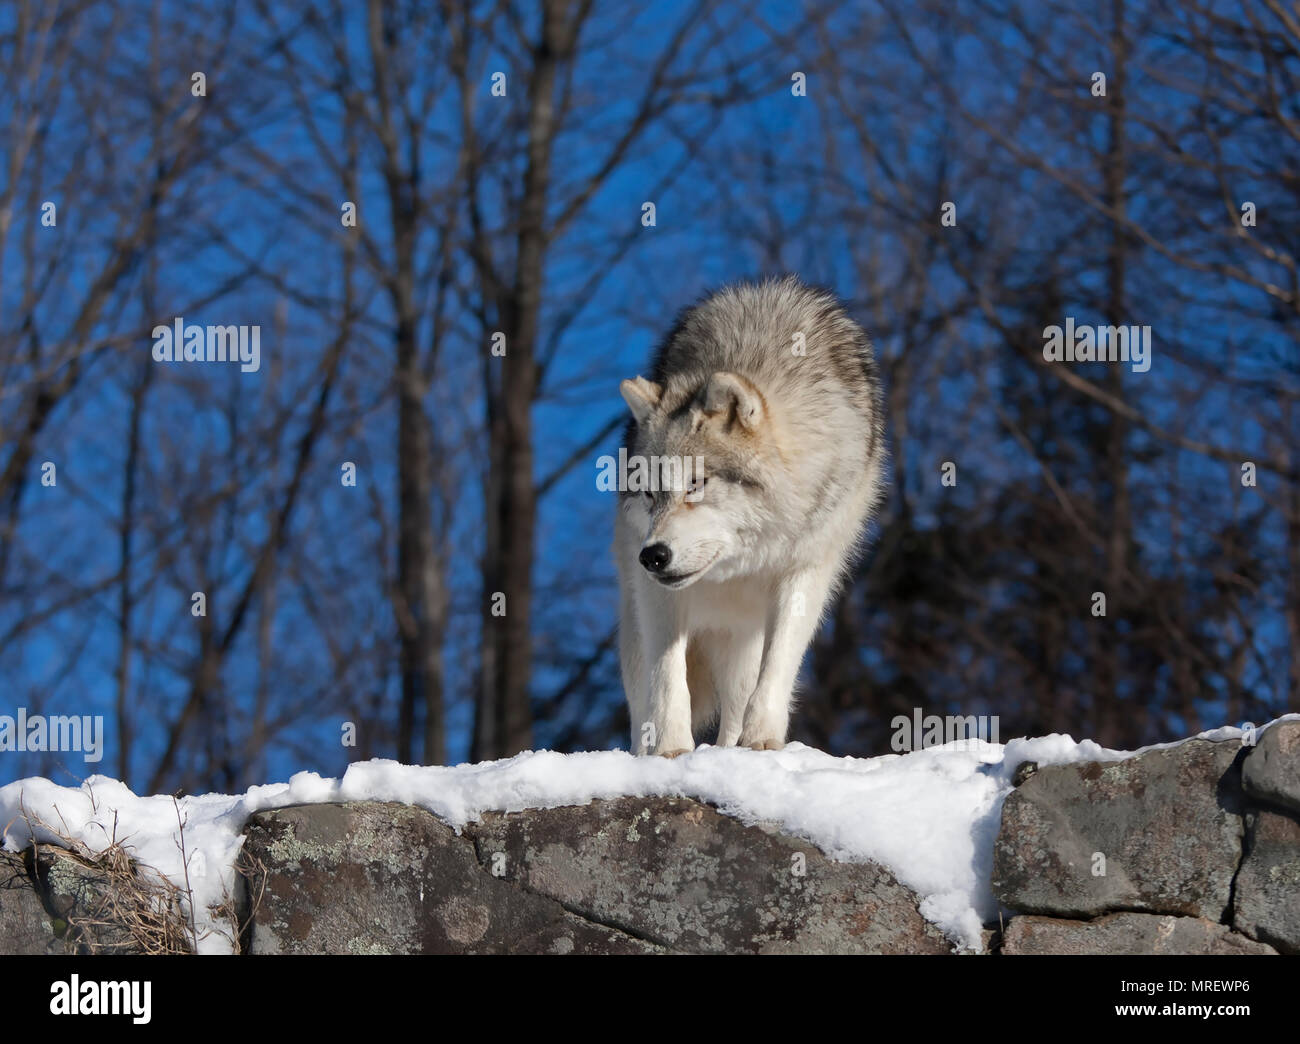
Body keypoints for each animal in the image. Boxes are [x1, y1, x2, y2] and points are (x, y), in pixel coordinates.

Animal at [615, 276, 887, 756]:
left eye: (696, 484)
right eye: (649, 492)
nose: (654, 556)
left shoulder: (806, 569)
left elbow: (777, 667)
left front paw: (760, 740)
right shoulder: (655, 593)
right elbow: (668, 676)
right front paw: (670, 750)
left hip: (740, 641)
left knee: (737, 700)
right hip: (635, 626)